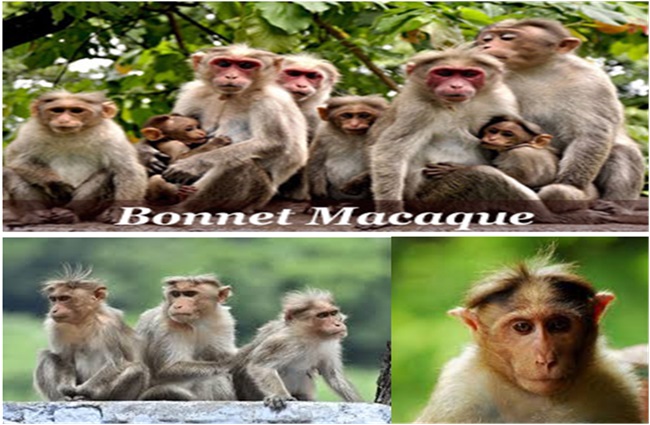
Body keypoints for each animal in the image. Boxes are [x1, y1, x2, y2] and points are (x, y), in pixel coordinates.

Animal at [3, 91, 148, 225]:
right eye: (57, 110)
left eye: (77, 111)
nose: (64, 120)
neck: (71, 135)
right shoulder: (30, 132)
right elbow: (16, 160)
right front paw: (56, 184)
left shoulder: (113, 136)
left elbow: (128, 169)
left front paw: (120, 211)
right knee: (9, 172)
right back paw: (36, 214)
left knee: (106, 174)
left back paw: (69, 214)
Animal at [33, 265, 149, 401]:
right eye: (54, 299)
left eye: (64, 298)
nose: (54, 310)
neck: (83, 321)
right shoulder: (56, 327)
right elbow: (65, 360)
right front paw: (66, 388)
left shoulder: (108, 327)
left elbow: (115, 362)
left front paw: (82, 390)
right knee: (48, 356)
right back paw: (62, 398)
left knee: (136, 369)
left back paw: (89, 397)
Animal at [162, 45, 308, 213]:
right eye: (224, 64)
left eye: (245, 65)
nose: (231, 76)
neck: (232, 96)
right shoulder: (192, 94)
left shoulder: (270, 100)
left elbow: (273, 142)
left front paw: (190, 165)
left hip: (257, 194)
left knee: (241, 163)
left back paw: (183, 207)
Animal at [232, 289, 363, 411]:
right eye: (322, 315)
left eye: (333, 313)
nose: (337, 324)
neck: (313, 337)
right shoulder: (284, 341)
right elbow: (259, 365)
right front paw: (280, 395)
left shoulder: (331, 345)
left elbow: (332, 375)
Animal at [476, 19, 645, 212]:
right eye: (487, 38)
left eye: (507, 37)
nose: (486, 45)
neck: (533, 71)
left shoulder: (592, 81)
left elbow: (591, 134)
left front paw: (568, 185)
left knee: (622, 151)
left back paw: (613, 205)